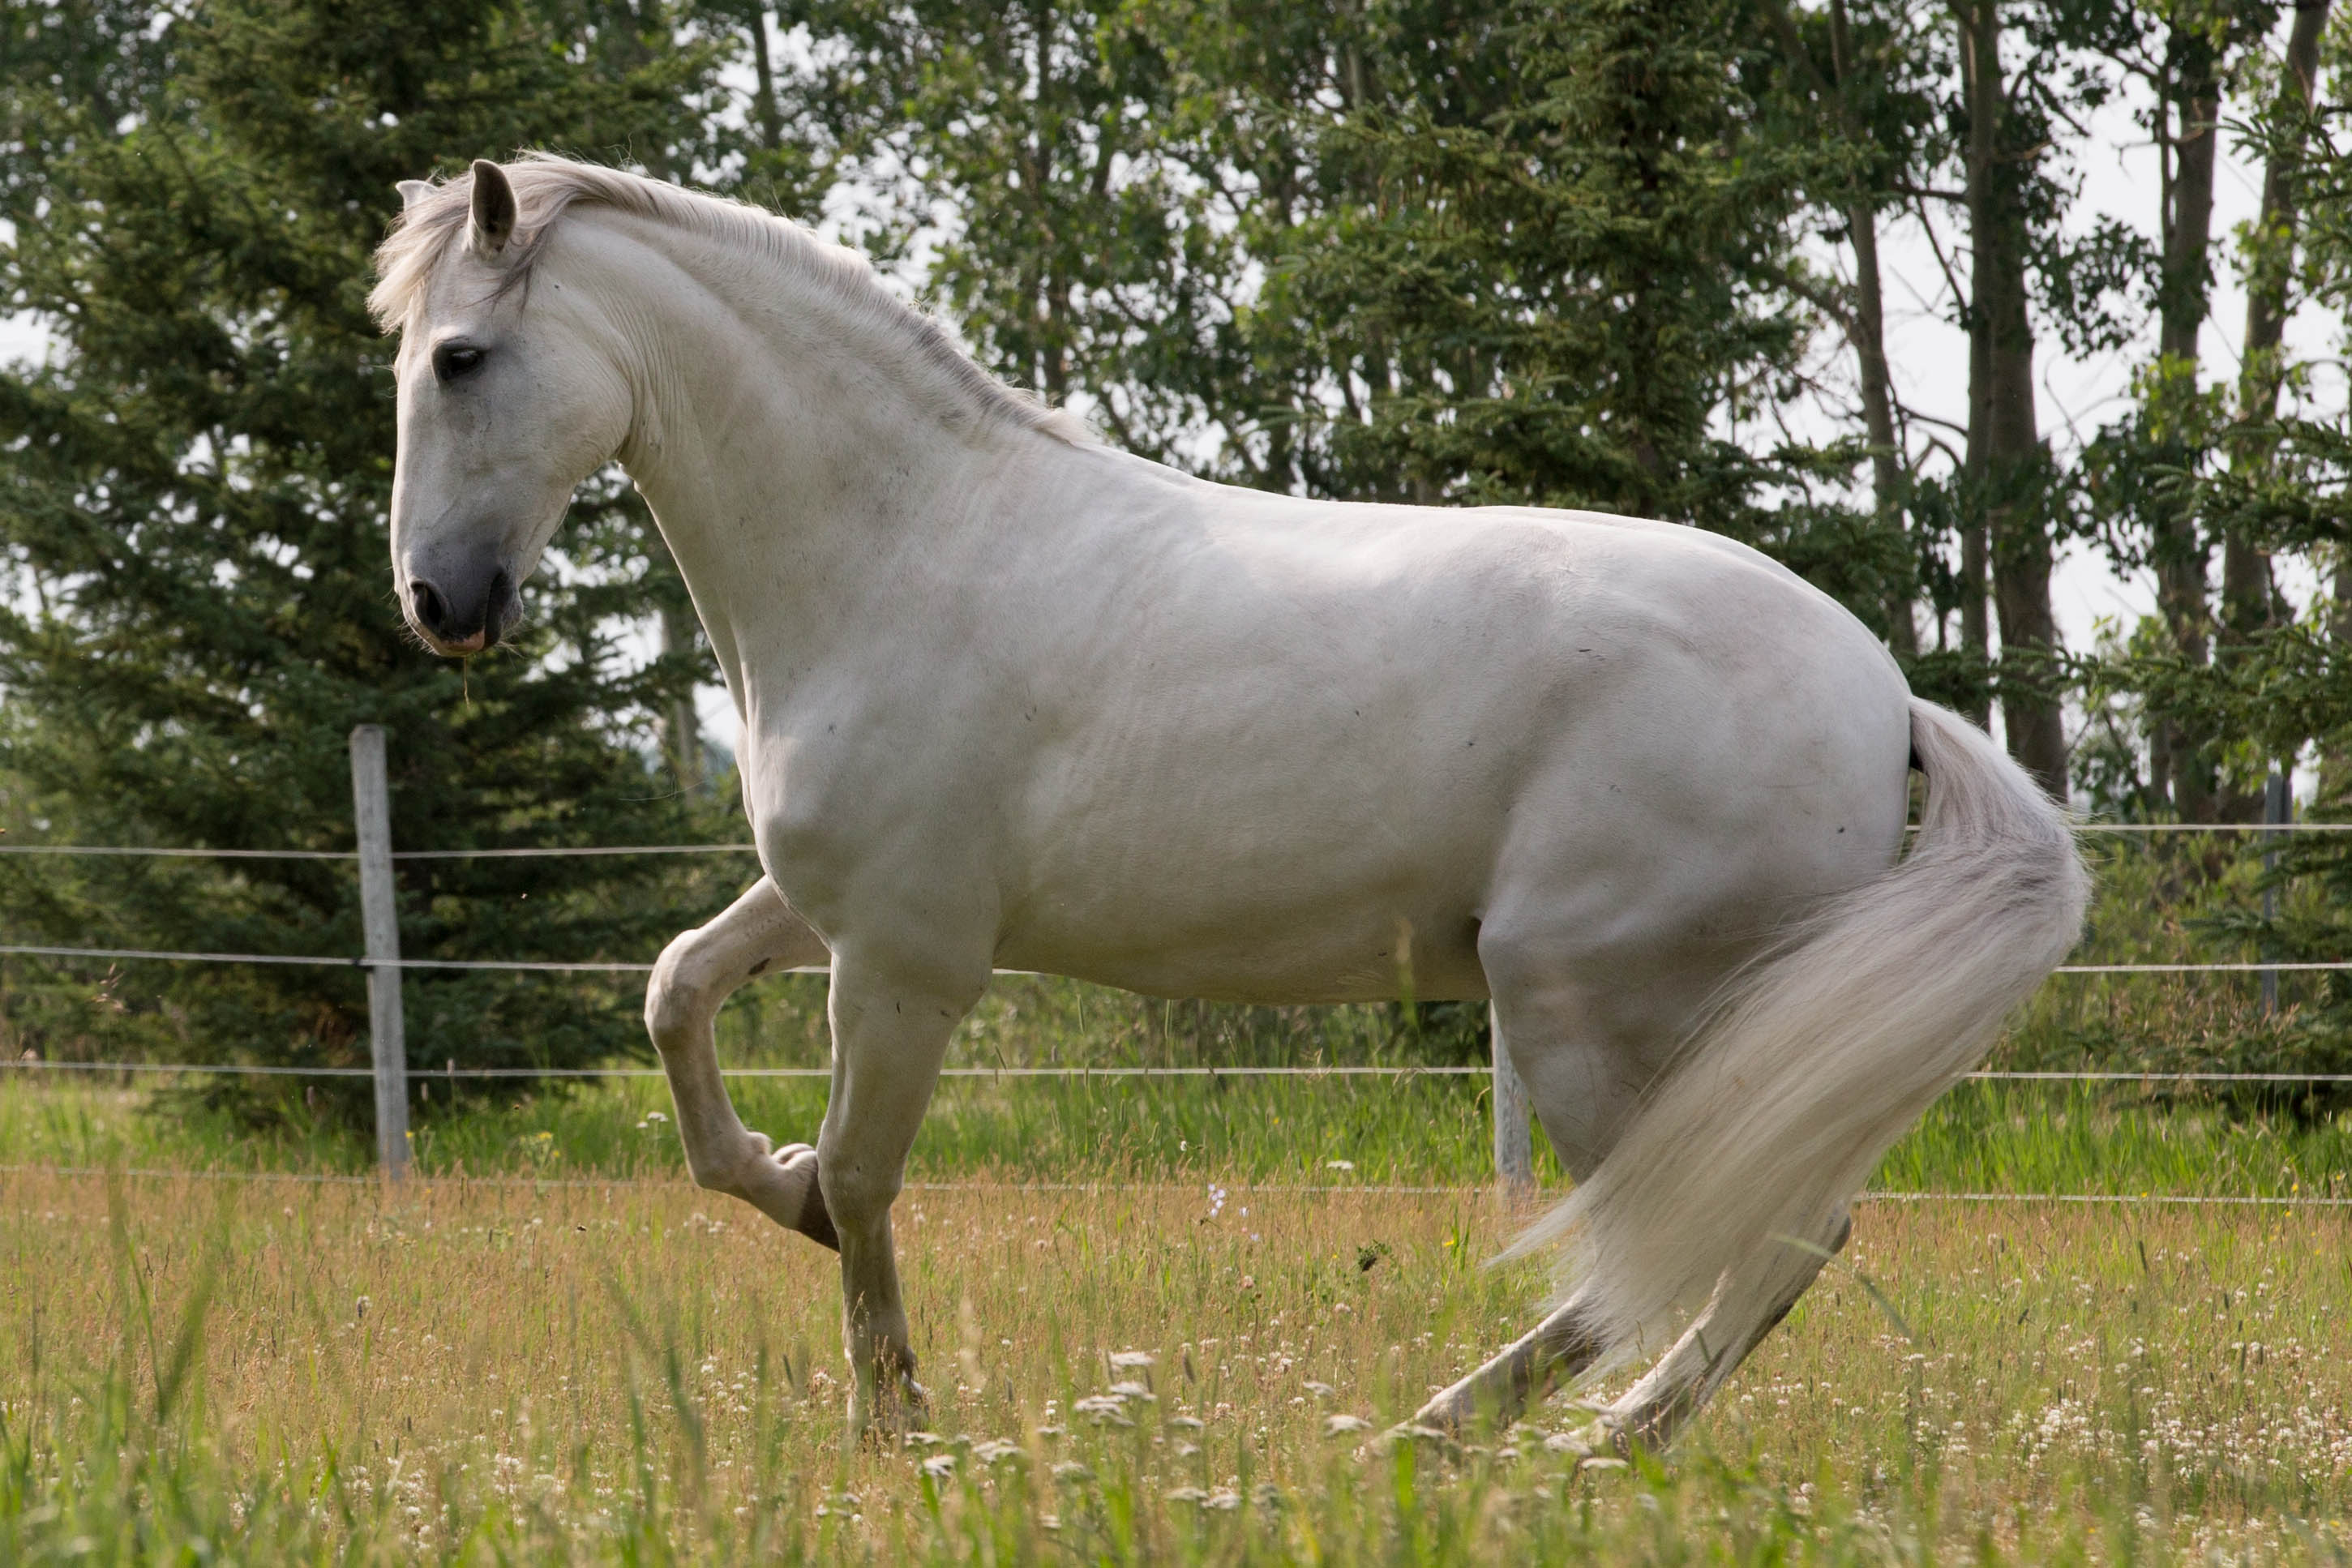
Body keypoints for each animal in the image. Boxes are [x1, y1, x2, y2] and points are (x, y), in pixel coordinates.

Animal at [370, 155, 2086, 1448]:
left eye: (460, 357)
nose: (440, 604)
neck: (906, 545)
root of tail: (1882, 697)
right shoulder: (829, 905)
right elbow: (678, 993)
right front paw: (772, 1184)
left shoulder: (911, 957)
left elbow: (866, 1175)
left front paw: (893, 1418)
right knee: (1768, 1235)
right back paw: (1596, 1438)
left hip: (1581, 1003)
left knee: (1706, 1237)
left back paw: (1470, 1438)